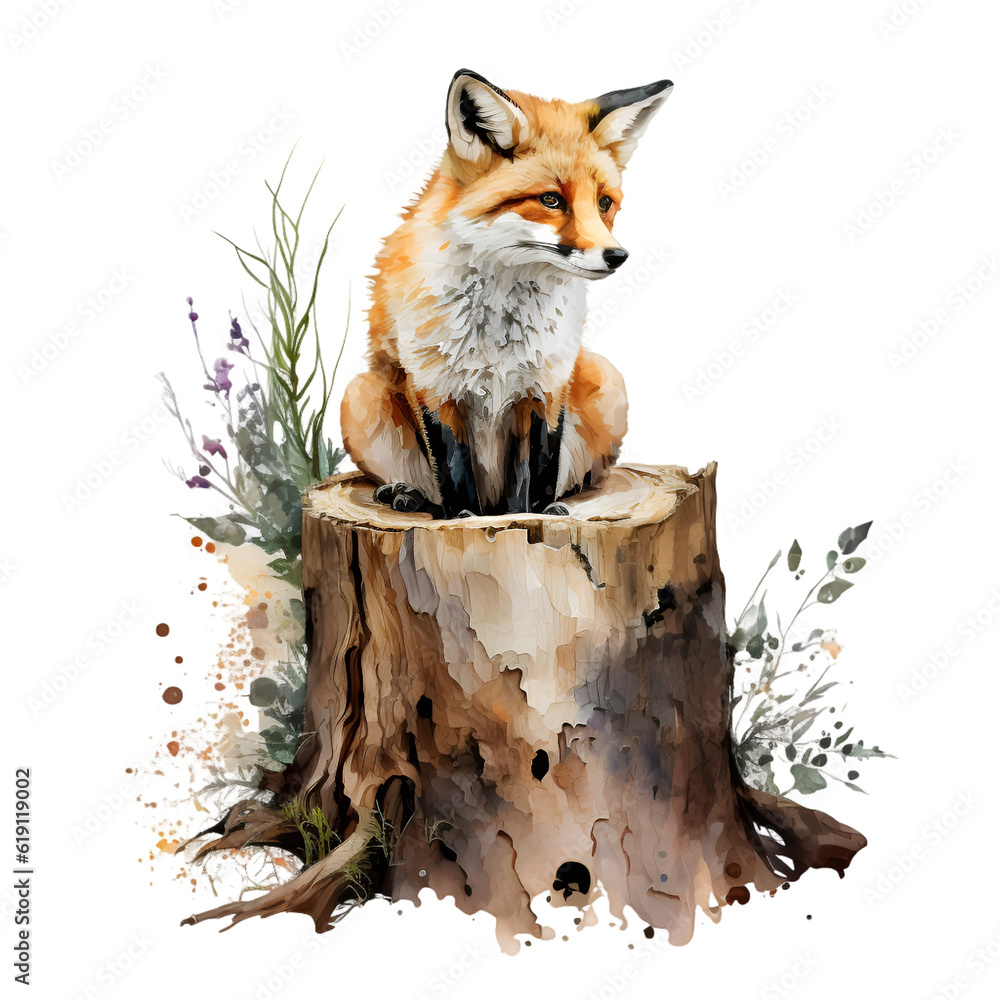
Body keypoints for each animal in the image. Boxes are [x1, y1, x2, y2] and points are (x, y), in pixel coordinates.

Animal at [341, 68, 672, 518]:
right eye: (551, 199)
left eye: (604, 203)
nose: (617, 256)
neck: (501, 325)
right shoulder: (433, 386)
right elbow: (453, 470)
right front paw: (463, 518)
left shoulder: (545, 387)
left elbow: (534, 471)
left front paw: (529, 514)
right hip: (359, 394)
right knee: (421, 483)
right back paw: (403, 493)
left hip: (607, 377)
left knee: (577, 476)